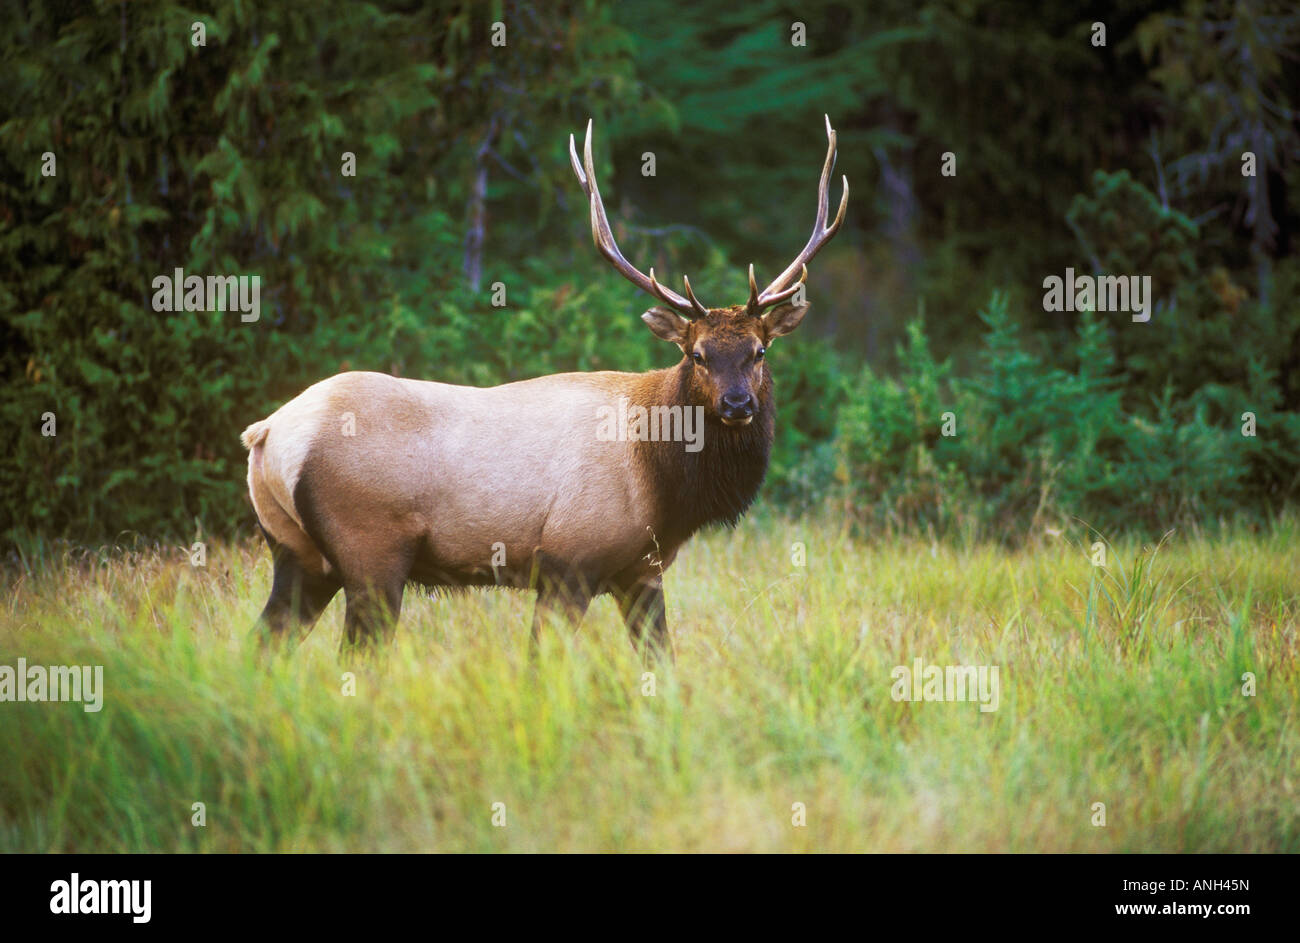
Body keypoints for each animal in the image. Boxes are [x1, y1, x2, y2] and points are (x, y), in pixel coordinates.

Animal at [241, 116, 848, 658]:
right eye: (697, 355)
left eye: (759, 351)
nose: (738, 403)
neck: (659, 476)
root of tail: (265, 435)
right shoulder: (568, 559)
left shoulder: (642, 572)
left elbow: (663, 663)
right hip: (371, 549)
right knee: (356, 655)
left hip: (296, 552)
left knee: (264, 644)